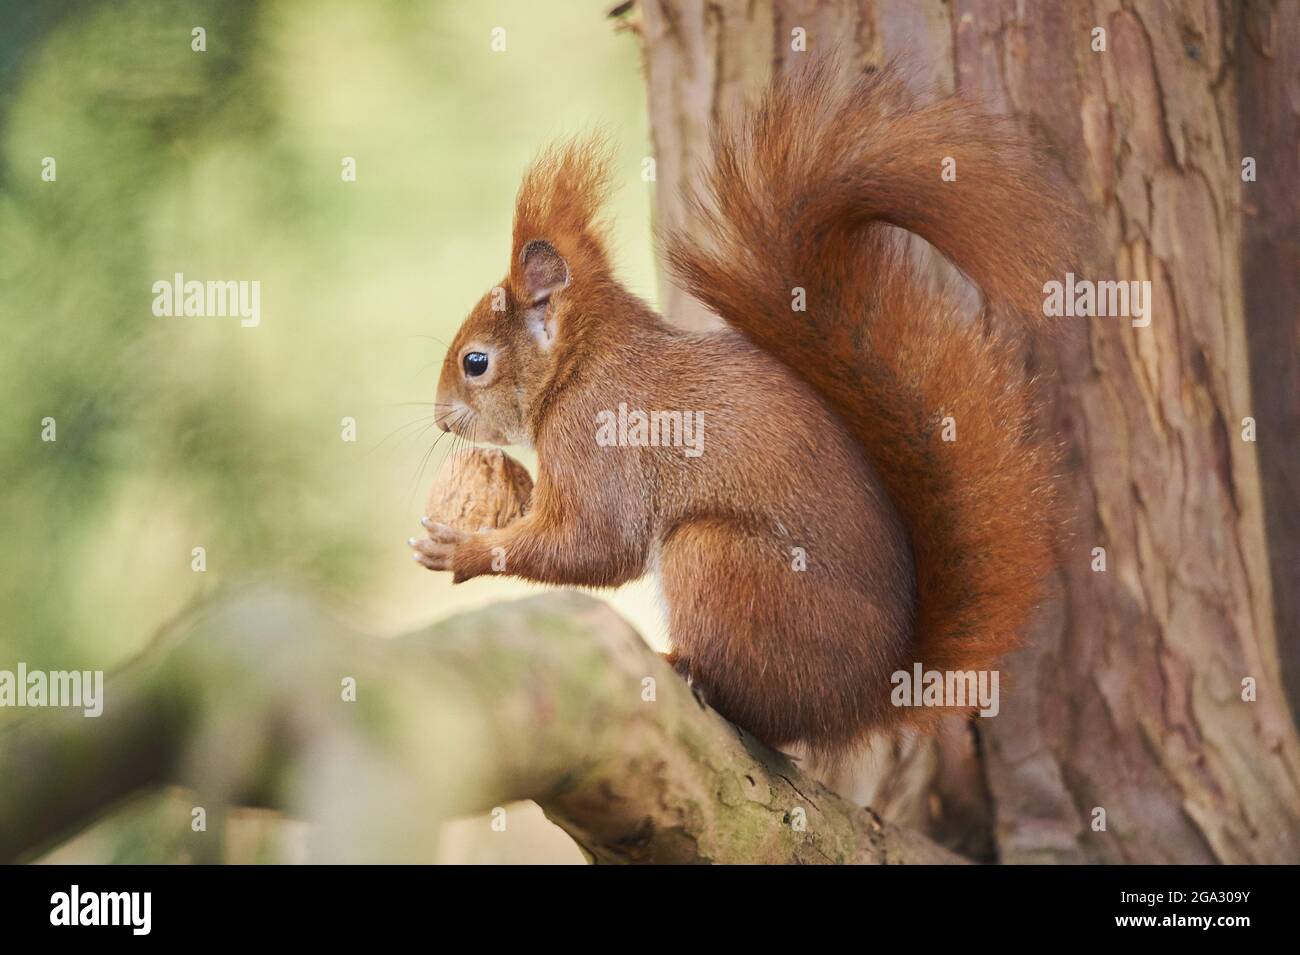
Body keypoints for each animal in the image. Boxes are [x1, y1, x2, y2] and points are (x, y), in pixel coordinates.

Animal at [412, 60, 1081, 760]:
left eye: (475, 362)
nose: (440, 419)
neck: (582, 363)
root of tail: (866, 697)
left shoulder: (597, 436)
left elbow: (594, 543)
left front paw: (461, 551)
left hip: (714, 558)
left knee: (758, 703)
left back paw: (688, 666)